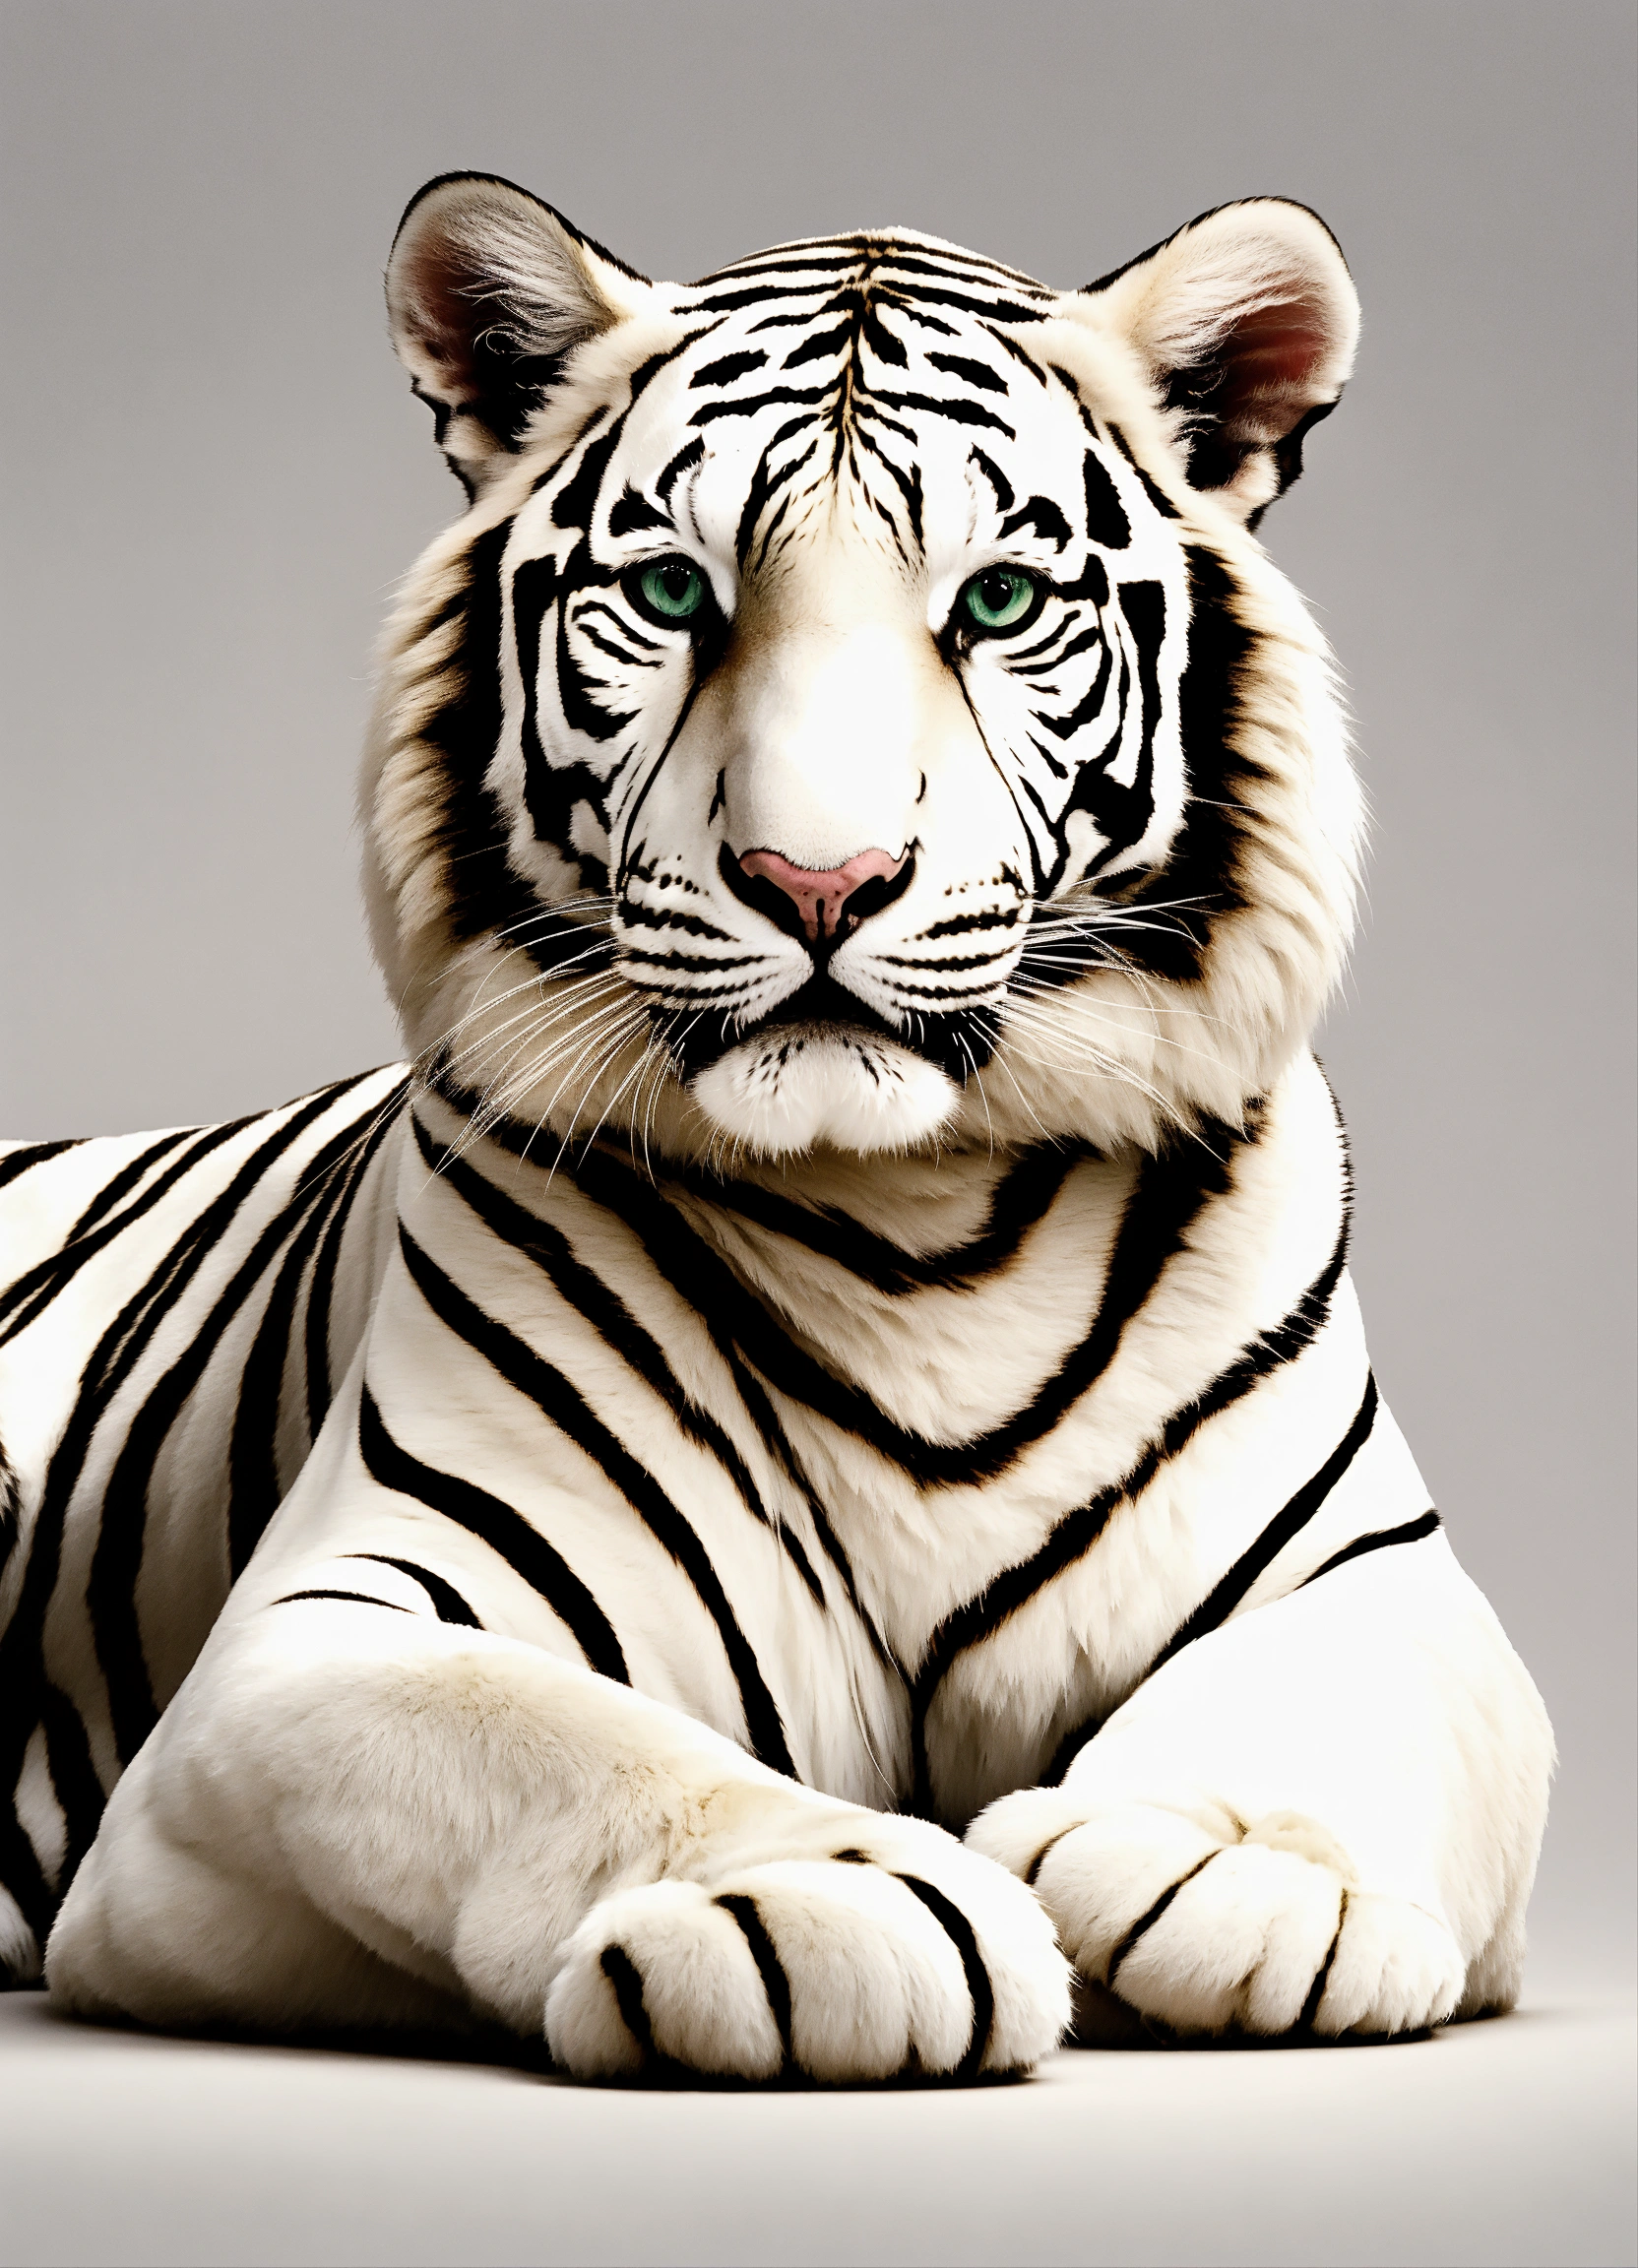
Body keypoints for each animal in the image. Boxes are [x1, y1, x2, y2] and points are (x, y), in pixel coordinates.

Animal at [0, 175, 1552, 2078]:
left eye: (999, 599)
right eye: (673, 589)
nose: (817, 878)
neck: (924, 1227)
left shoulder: (1378, 1579)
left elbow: (1346, 1694)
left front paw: (1230, 1864)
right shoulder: (313, 1640)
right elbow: (549, 1737)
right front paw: (816, 1890)